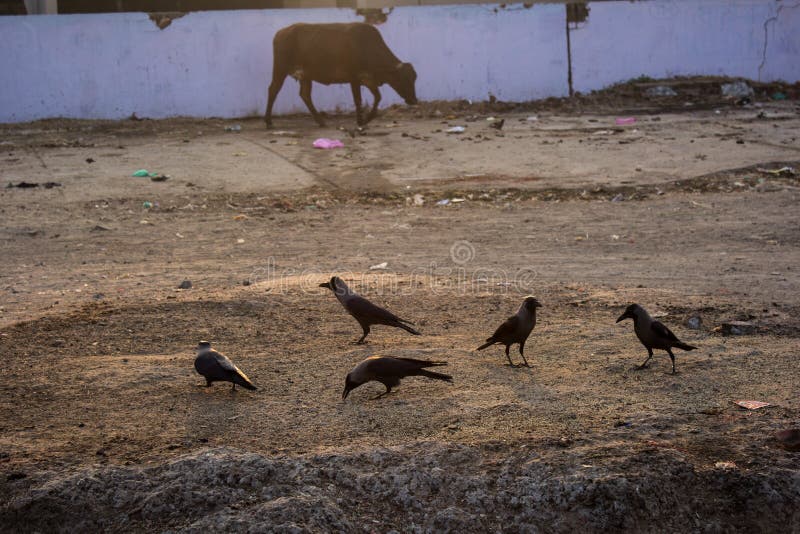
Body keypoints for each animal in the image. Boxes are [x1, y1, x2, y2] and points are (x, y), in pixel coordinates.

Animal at [264, 22, 418, 128]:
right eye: (404, 79)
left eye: (414, 79)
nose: (414, 100)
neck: (367, 47)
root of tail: (280, 33)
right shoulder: (354, 78)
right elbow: (358, 100)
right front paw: (360, 121)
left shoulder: (368, 80)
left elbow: (378, 97)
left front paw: (367, 118)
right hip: (280, 69)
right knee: (273, 90)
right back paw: (268, 121)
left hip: (306, 76)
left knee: (305, 95)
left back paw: (320, 121)